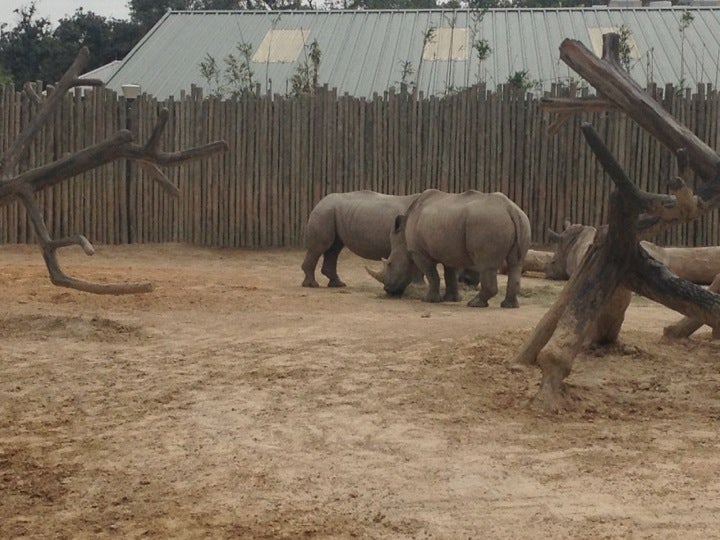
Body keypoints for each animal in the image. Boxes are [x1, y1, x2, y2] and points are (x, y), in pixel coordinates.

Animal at [367, 189, 531, 307]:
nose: (388, 290)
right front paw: (451, 299)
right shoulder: (449, 250)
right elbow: (449, 274)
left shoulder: (418, 252)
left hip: (488, 222)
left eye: (390, 264)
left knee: (487, 265)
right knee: (516, 264)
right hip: (522, 220)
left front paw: (429, 300)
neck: (403, 239)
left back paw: (475, 304)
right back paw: (509, 306)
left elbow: (432, 274)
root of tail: (510, 209)